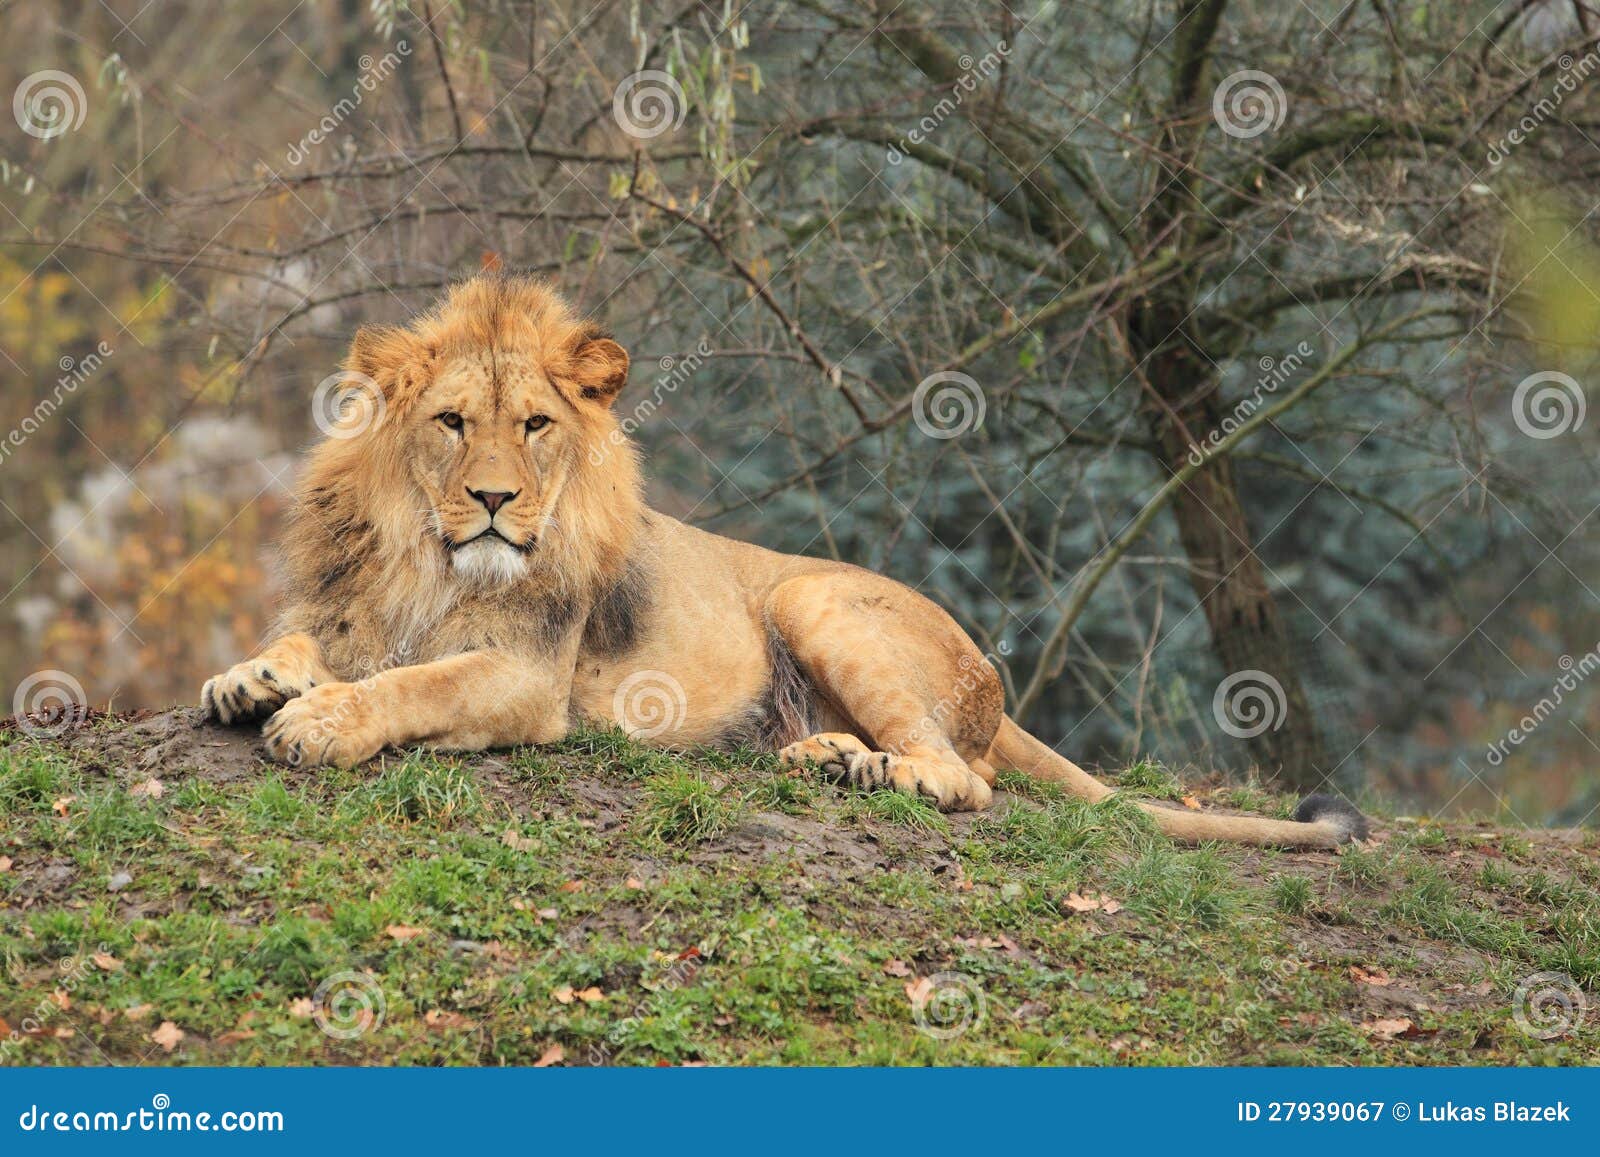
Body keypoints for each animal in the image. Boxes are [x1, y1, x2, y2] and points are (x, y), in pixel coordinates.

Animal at [201, 272, 1367, 849]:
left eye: (534, 425)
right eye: (450, 423)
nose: (493, 500)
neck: (432, 559)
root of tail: (991, 673)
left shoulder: (527, 677)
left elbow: (413, 684)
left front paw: (316, 720)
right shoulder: (355, 609)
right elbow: (310, 641)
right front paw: (250, 676)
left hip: (817, 596)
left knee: (970, 780)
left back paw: (875, 768)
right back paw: (827, 756)